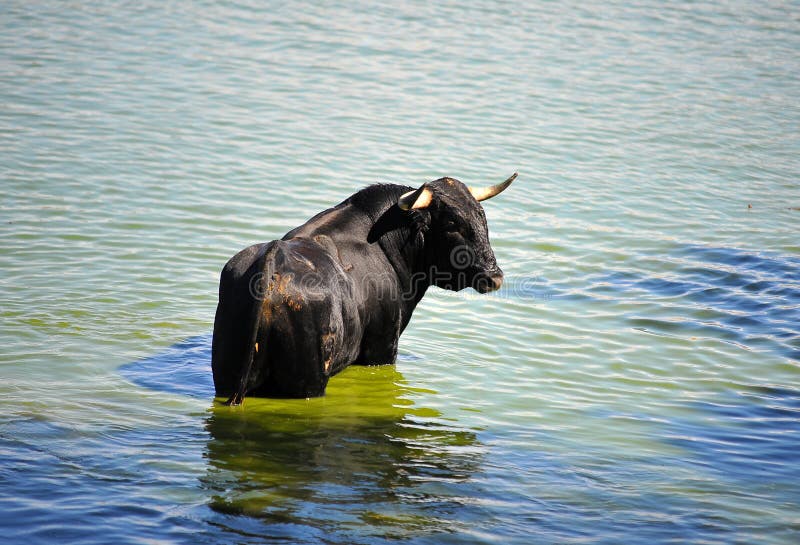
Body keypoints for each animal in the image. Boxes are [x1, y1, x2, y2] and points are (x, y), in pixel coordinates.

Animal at [211, 173, 517, 404]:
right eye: (452, 224)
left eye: (482, 216)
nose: (495, 276)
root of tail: (273, 258)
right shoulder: (383, 347)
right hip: (307, 383)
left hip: (226, 375)